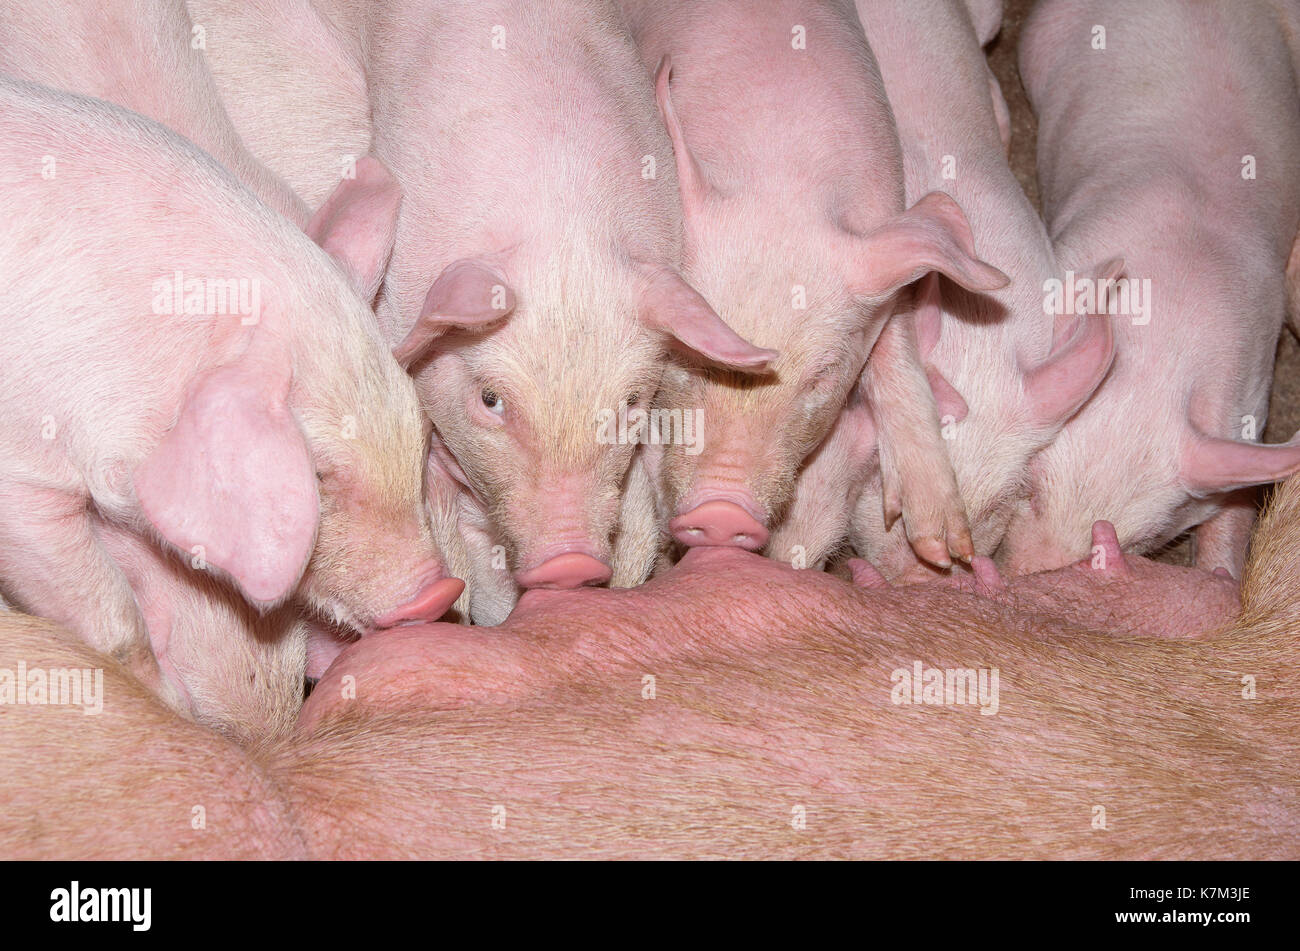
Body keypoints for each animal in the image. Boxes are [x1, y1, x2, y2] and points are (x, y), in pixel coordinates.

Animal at [0, 76, 461, 710]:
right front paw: (172, 705)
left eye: (417, 435)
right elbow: (112, 618)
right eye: (316, 476)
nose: (440, 594)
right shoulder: (22, 470)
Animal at [620, 0, 1009, 572]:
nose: (722, 511)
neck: (782, 171)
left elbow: (896, 349)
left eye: (822, 376)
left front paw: (941, 548)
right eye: (685, 354)